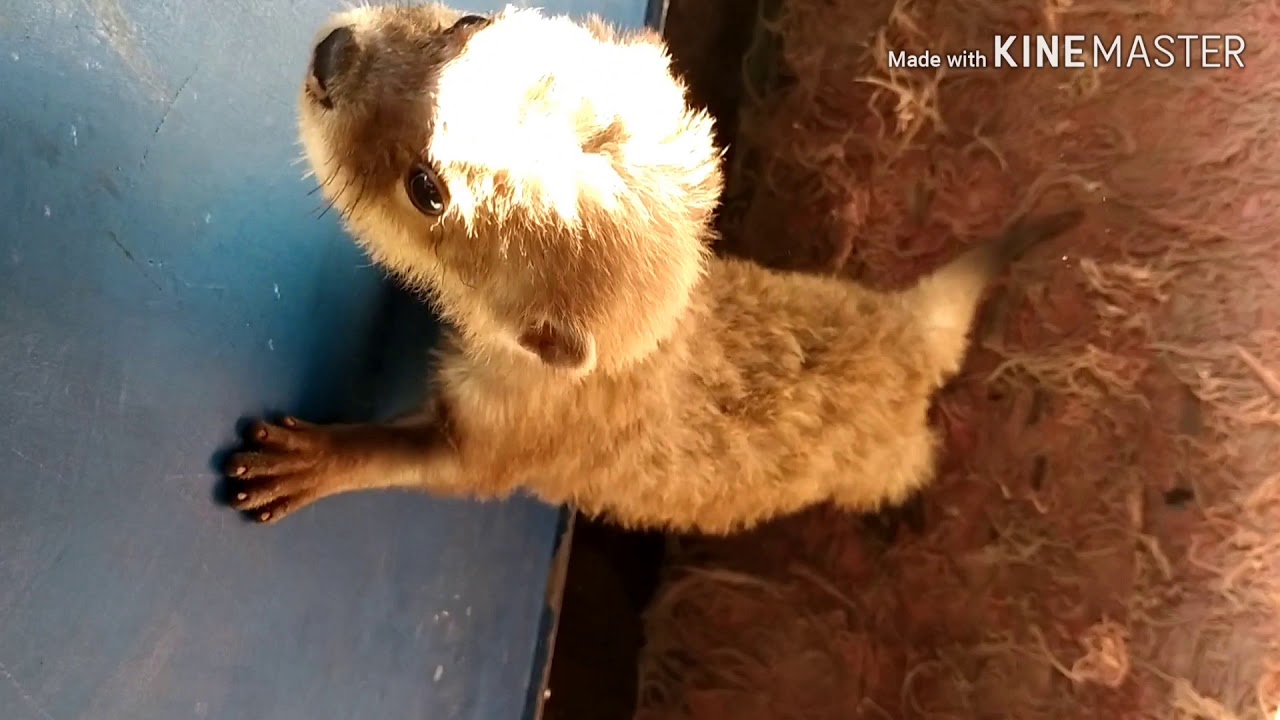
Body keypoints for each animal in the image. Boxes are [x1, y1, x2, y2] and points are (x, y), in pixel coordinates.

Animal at [219, 4, 1082, 534]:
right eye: (471, 23)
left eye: (428, 189)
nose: (335, 54)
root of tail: (903, 332)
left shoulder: (508, 439)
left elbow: (435, 470)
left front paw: (318, 460)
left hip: (889, 460)